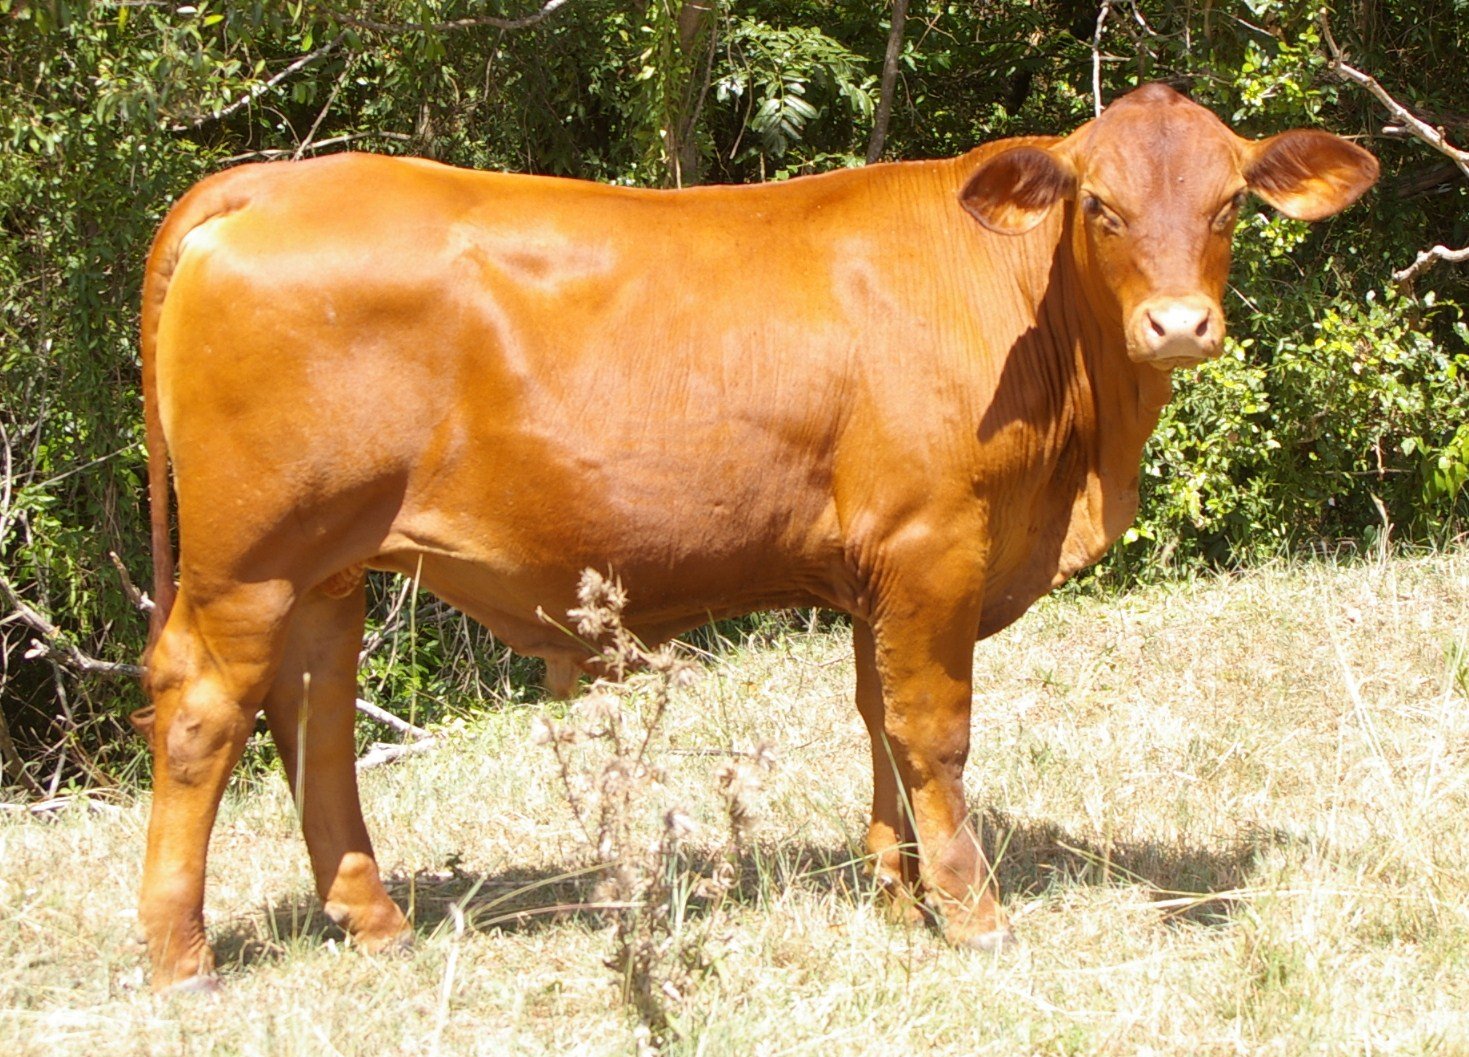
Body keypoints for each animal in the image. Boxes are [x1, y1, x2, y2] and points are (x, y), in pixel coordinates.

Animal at [132, 84, 1377, 990]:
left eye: (1226, 205)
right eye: (1099, 206)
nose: (1177, 325)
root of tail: (273, 182)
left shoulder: (880, 570)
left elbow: (877, 720)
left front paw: (896, 895)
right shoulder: (933, 544)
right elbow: (932, 731)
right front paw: (970, 912)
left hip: (326, 564)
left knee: (316, 712)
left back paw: (375, 918)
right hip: (249, 562)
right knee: (205, 709)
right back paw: (181, 956)